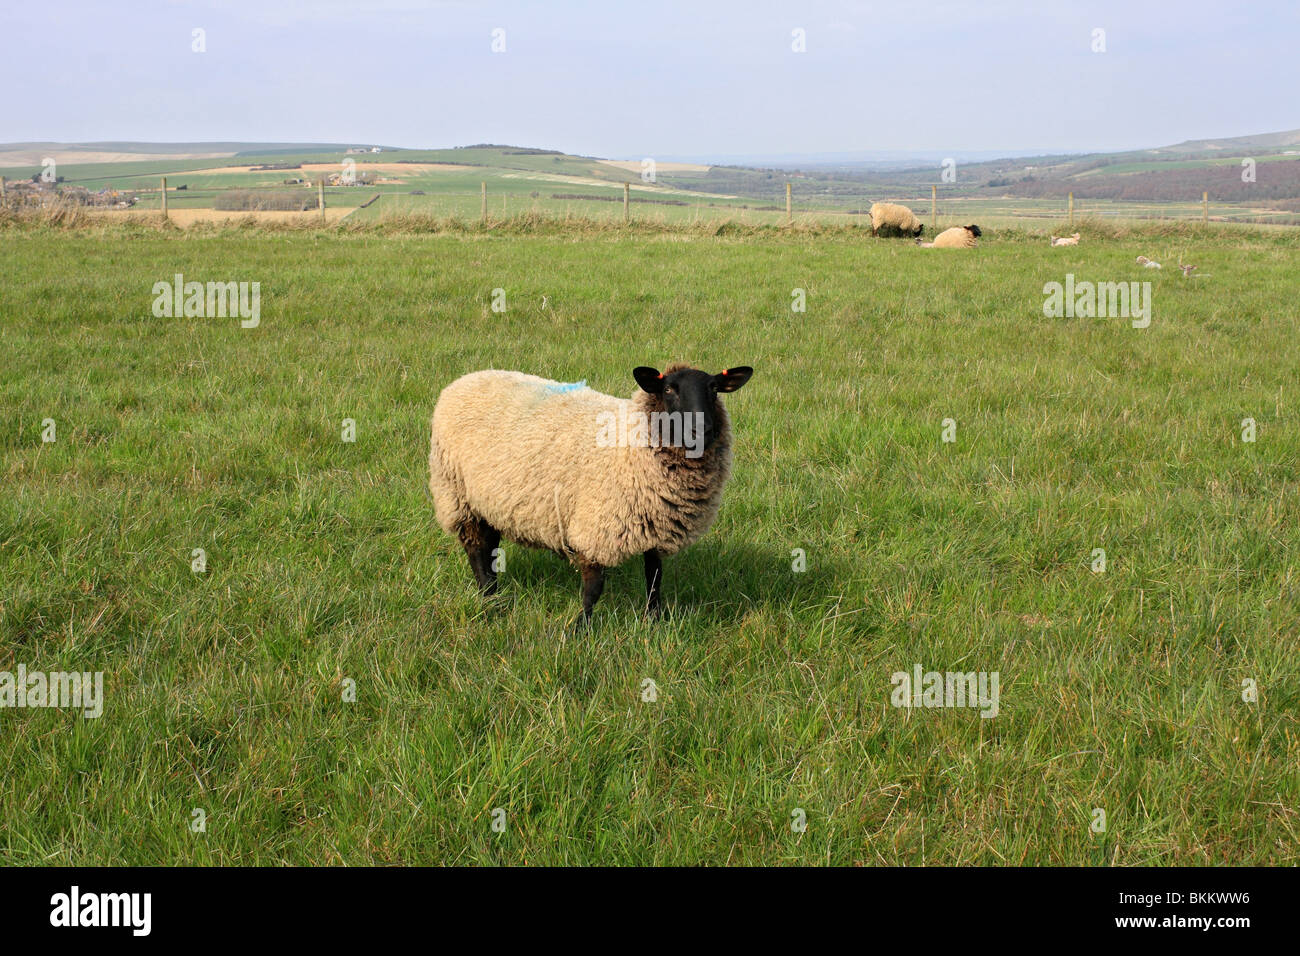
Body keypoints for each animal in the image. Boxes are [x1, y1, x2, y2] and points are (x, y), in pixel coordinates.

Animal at [429, 363, 754, 626]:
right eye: (669, 388)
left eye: (714, 389)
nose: (703, 430)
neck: (633, 443)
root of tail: (465, 379)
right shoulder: (595, 526)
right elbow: (594, 588)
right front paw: (580, 629)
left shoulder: (654, 521)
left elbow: (654, 577)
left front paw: (654, 620)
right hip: (457, 493)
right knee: (477, 549)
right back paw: (490, 598)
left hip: (488, 499)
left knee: (490, 544)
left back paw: (495, 594)